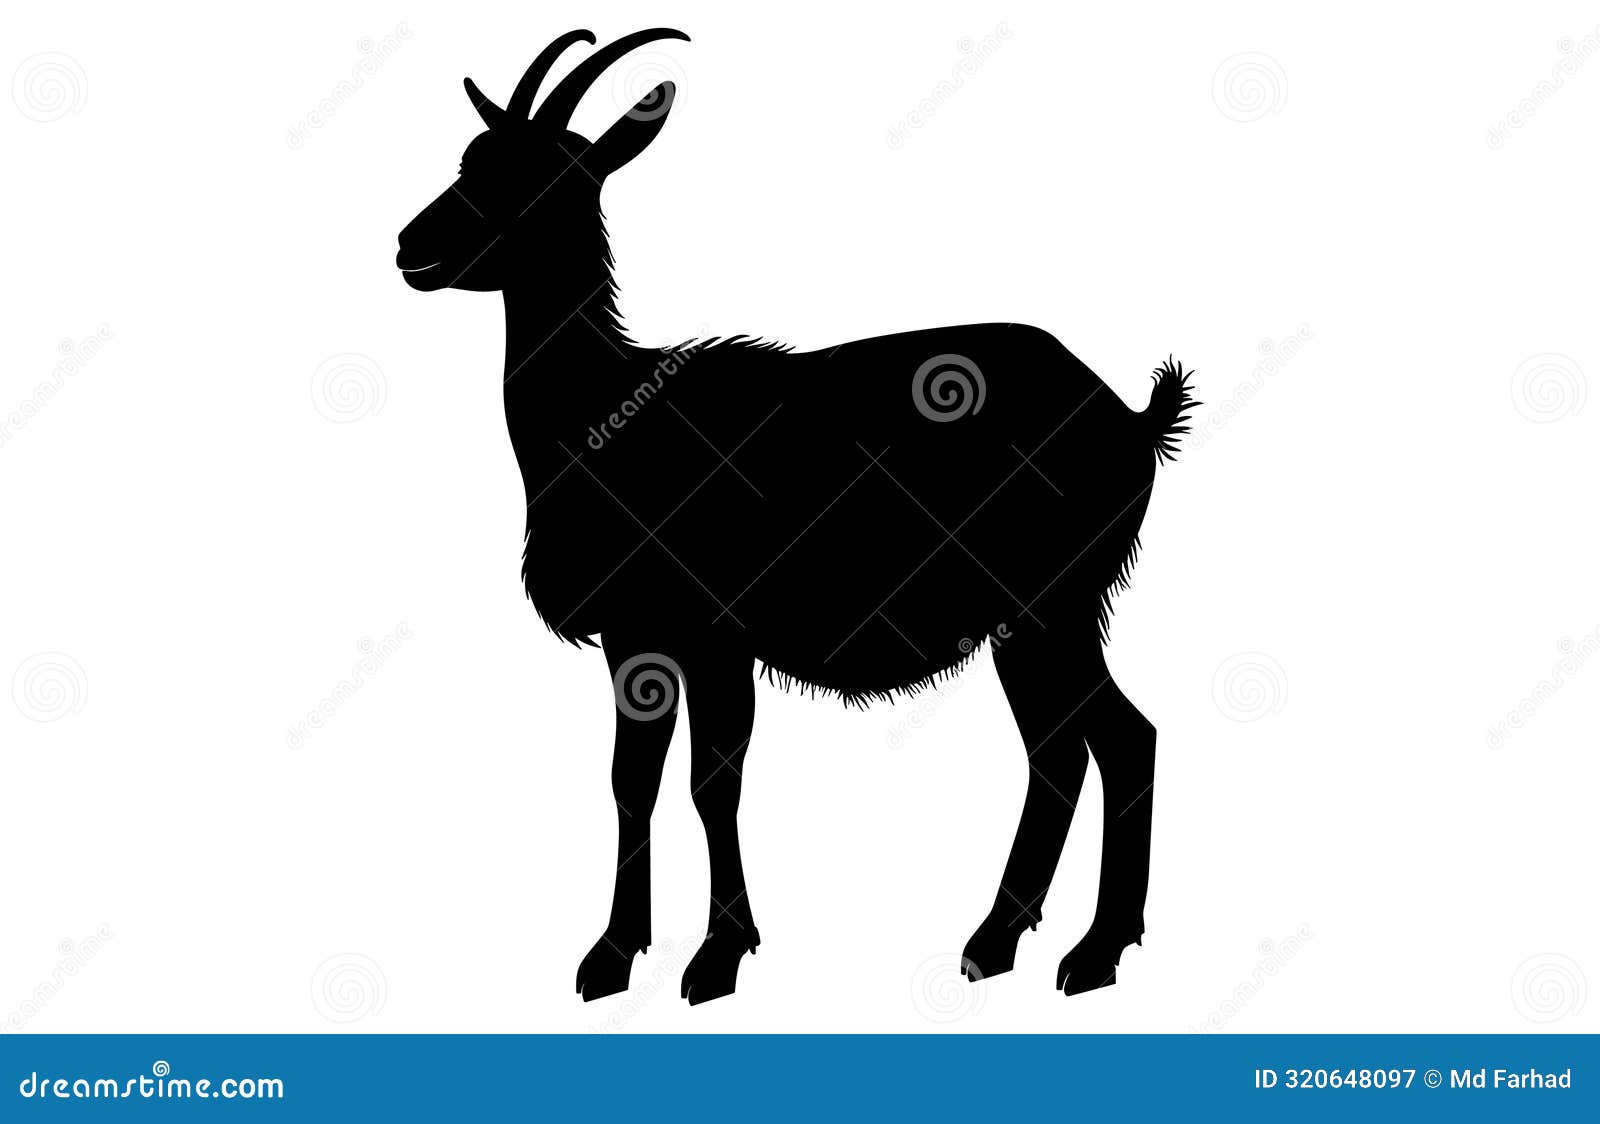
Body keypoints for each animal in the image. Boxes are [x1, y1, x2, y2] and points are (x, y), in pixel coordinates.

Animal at [397, 28, 1195, 1005]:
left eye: (546, 178)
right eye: (471, 158)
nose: (412, 247)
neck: (606, 413)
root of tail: (1134, 418)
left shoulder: (705, 633)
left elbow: (709, 780)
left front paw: (712, 958)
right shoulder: (644, 637)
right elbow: (636, 781)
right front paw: (616, 956)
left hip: (1056, 603)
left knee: (1121, 739)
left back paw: (1093, 953)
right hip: (1034, 620)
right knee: (1061, 749)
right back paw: (997, 944)